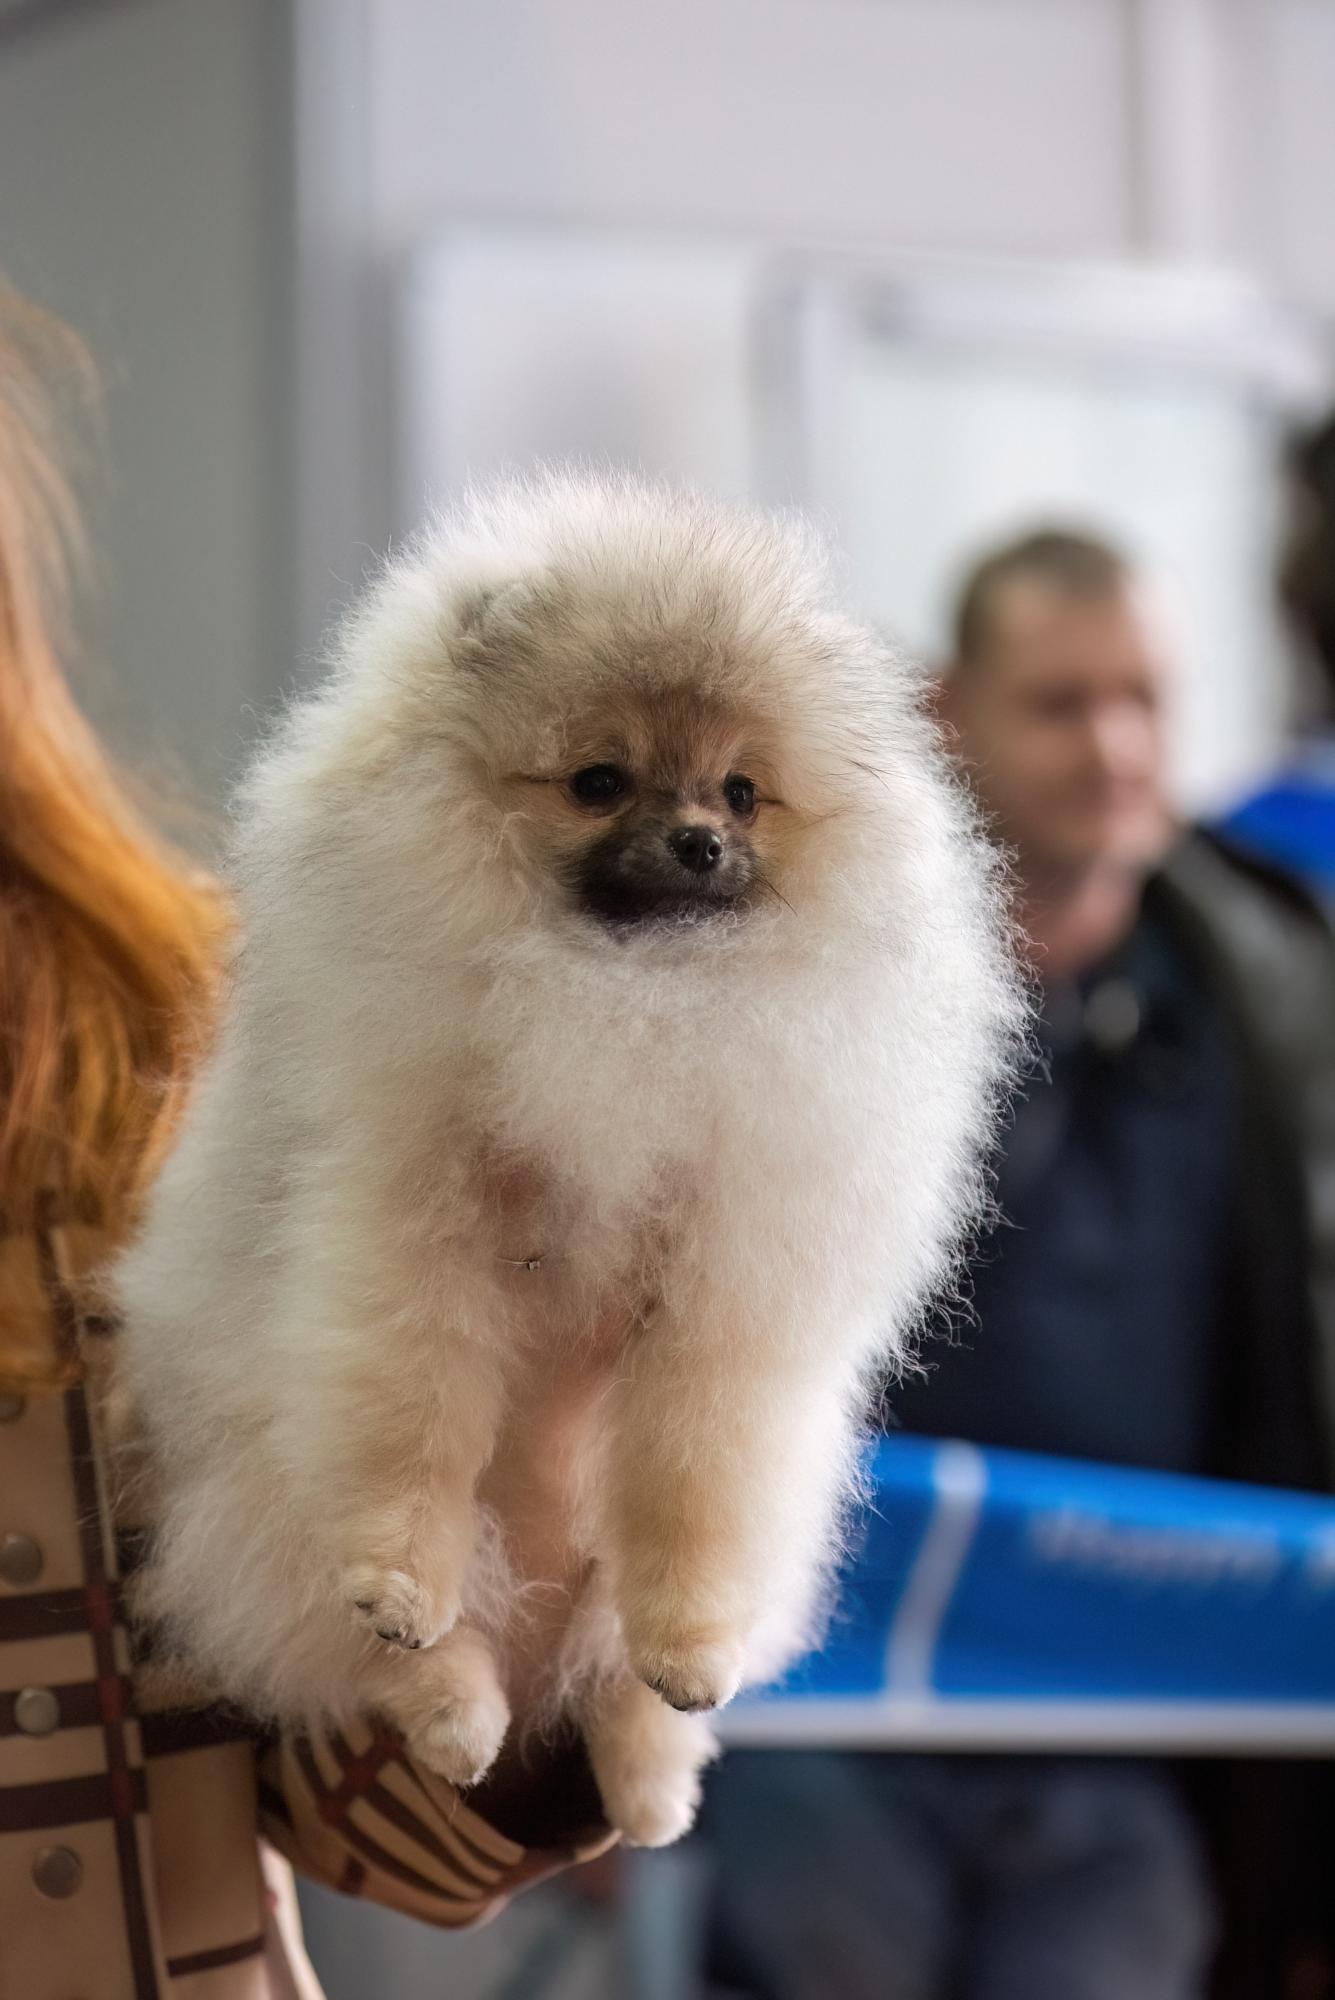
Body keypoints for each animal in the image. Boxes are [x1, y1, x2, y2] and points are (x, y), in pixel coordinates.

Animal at [114, 472, 1023, 1840]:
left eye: (741, 790)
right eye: (600, 778)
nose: (698, 840)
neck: (624, 995)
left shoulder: (729, 1280)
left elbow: (697, 1473)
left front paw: (689, 1639)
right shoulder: (411, 1216)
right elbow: (411, 1410)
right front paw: (401, 1574)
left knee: (611, 1673)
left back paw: (648, 1776)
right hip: (261, 1489)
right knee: (372, 1646)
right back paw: (455, 1706)